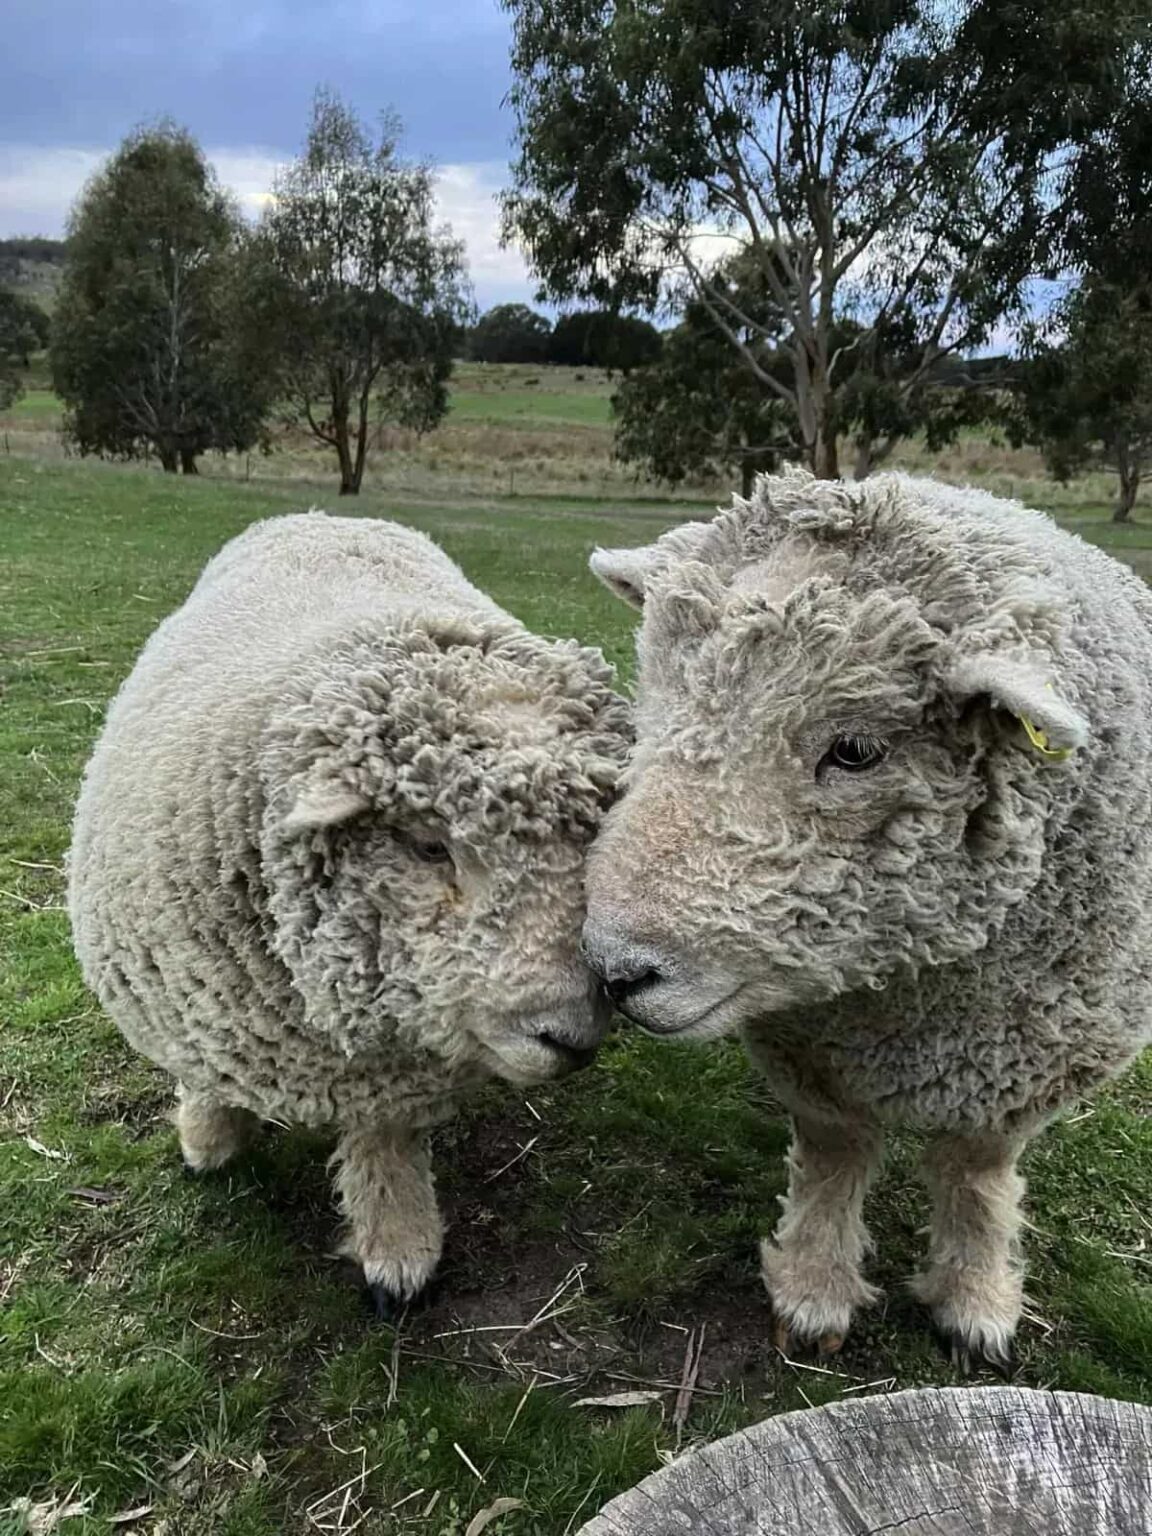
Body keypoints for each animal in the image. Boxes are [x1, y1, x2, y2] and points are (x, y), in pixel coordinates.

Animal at [69, 512, 630, 1317]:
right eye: (428, 845)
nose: (572, 1035)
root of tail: (325, 515)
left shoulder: (392, 1074)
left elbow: (384, 1147)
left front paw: (398, 1251)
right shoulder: (191, 1006)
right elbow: (206, 1071)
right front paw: (207, 1141)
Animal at [581, 468, 1152, 1368]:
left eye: (854, 751)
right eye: (655, 708)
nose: (614, 970)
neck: (914, 995)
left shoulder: (1032, 1063)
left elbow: (976, 1173)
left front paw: (976, 1297)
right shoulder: (809, 1049)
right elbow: (835, 1152)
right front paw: (814, 1289)